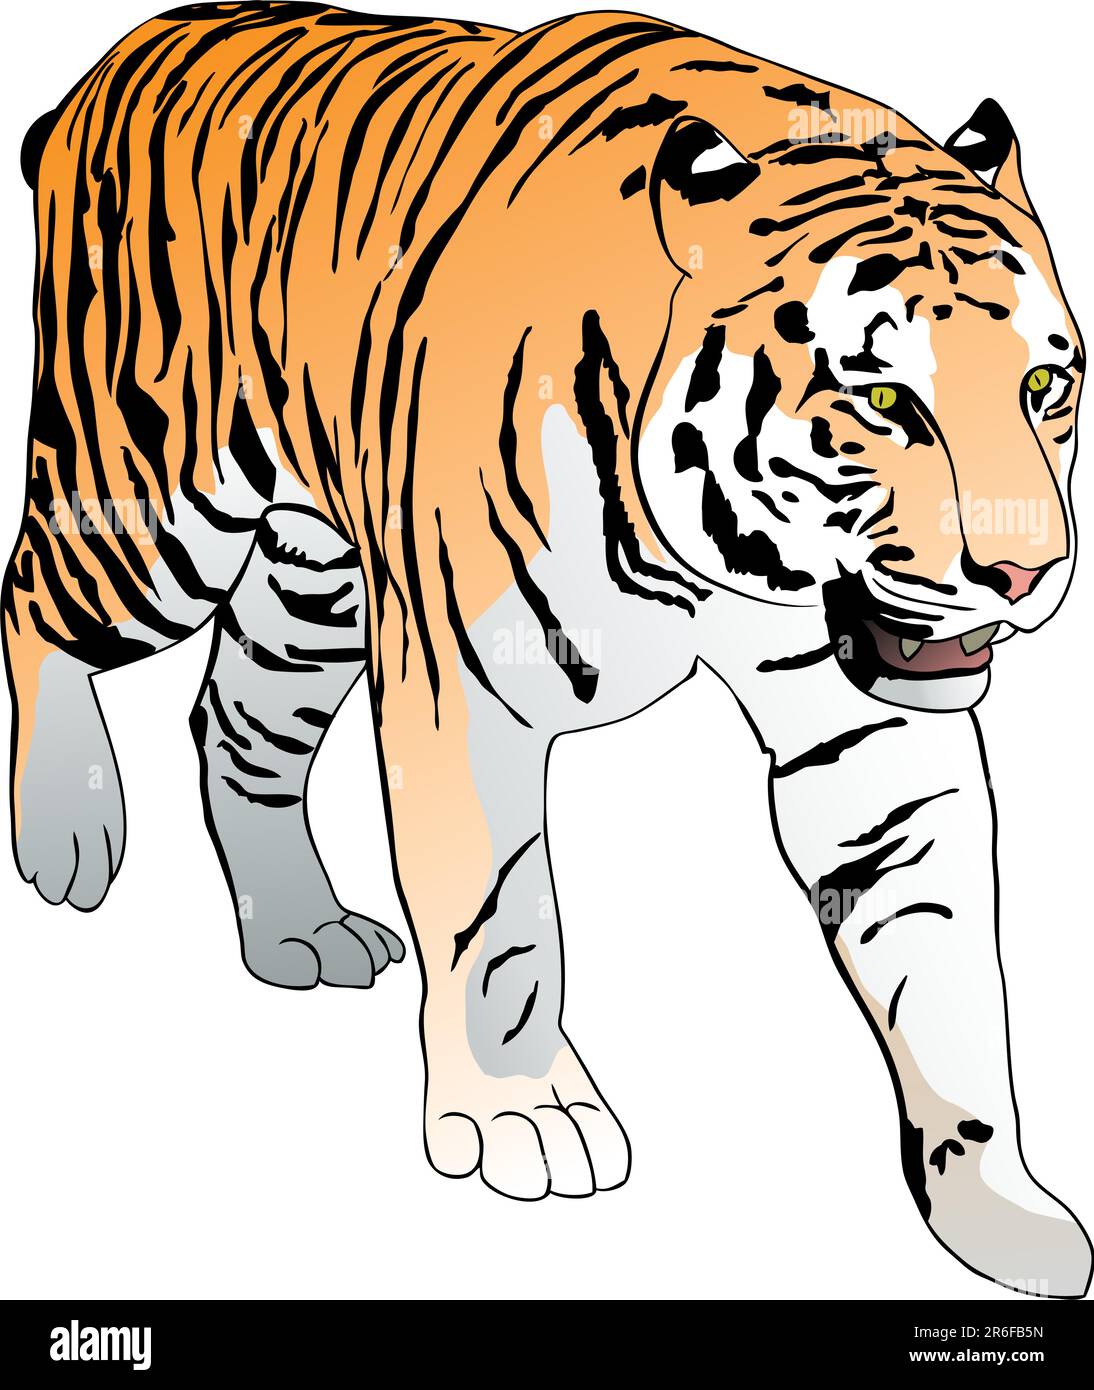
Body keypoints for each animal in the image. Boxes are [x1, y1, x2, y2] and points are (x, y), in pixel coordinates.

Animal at [4, 1, 1089, 1296]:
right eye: (882, 403)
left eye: (1045, 385)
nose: (1026, 575)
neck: (722, 560)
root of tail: (112, 60)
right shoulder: (466, 688)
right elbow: (499, 923)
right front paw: (521, 1116)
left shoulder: (871, 732)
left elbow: (943, 954)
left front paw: (995, 1200)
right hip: (147, 501)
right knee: (32, 606)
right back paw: (64, 833)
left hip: (314, 583)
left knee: (236, 723)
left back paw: (299, 928)